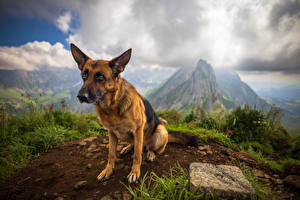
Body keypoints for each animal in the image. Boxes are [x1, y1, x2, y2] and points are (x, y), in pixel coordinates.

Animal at [69, 43, 198, 183]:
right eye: (84, 76)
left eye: (100, 77)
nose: (81, 96)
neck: (112, 106)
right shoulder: (111, 133)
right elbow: (111, 154)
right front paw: (108, 170)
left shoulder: (138, 129)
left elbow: (137, 155)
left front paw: (135, 172)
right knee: (136, 145)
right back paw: (127, 147)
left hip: (160, 131)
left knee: (150, 148)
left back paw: (150, 153)